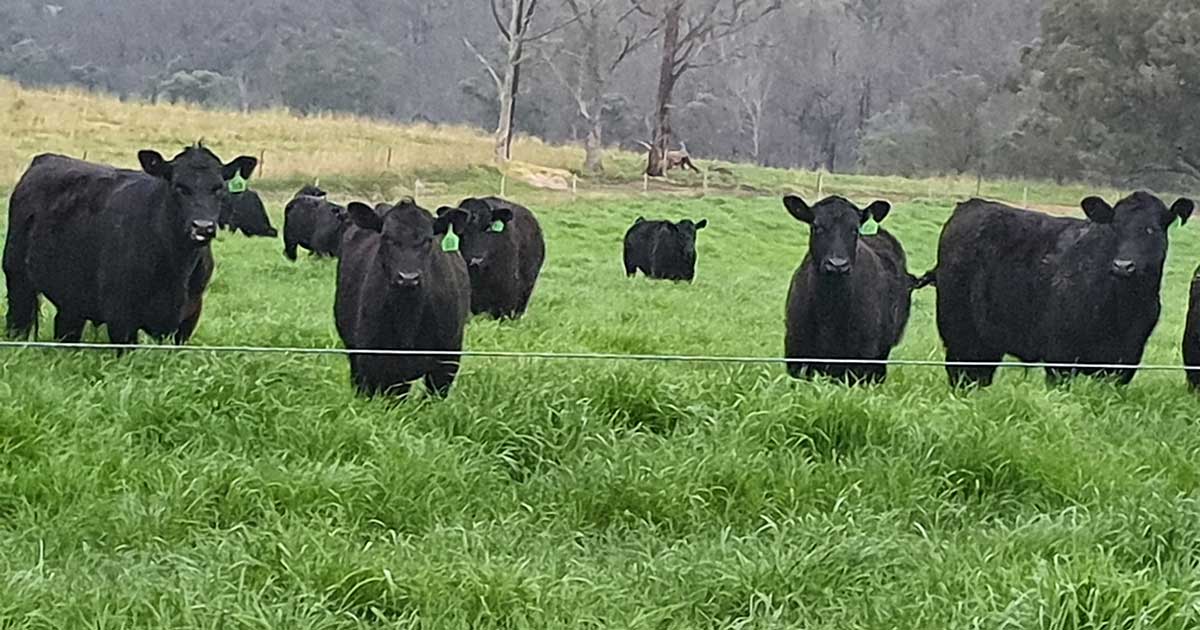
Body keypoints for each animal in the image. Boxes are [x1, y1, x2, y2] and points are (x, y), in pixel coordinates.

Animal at [3, 144, 257, 345]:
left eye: (219, 188)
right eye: (179, 186)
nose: (203, 227)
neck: (177, 268)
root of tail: (47, 158)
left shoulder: (189, 317)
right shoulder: (121, 315)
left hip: (72, 294)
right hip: (17, 277)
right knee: (18, 323)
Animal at [926, 192, 1193, 387]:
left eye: (1151, 230)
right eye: (1114, 227)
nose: (1123, 266)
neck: (1123, 306)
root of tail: (972, 205)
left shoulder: (1124, 361)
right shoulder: (1060, 355)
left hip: (987, 340)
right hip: (959, 332)